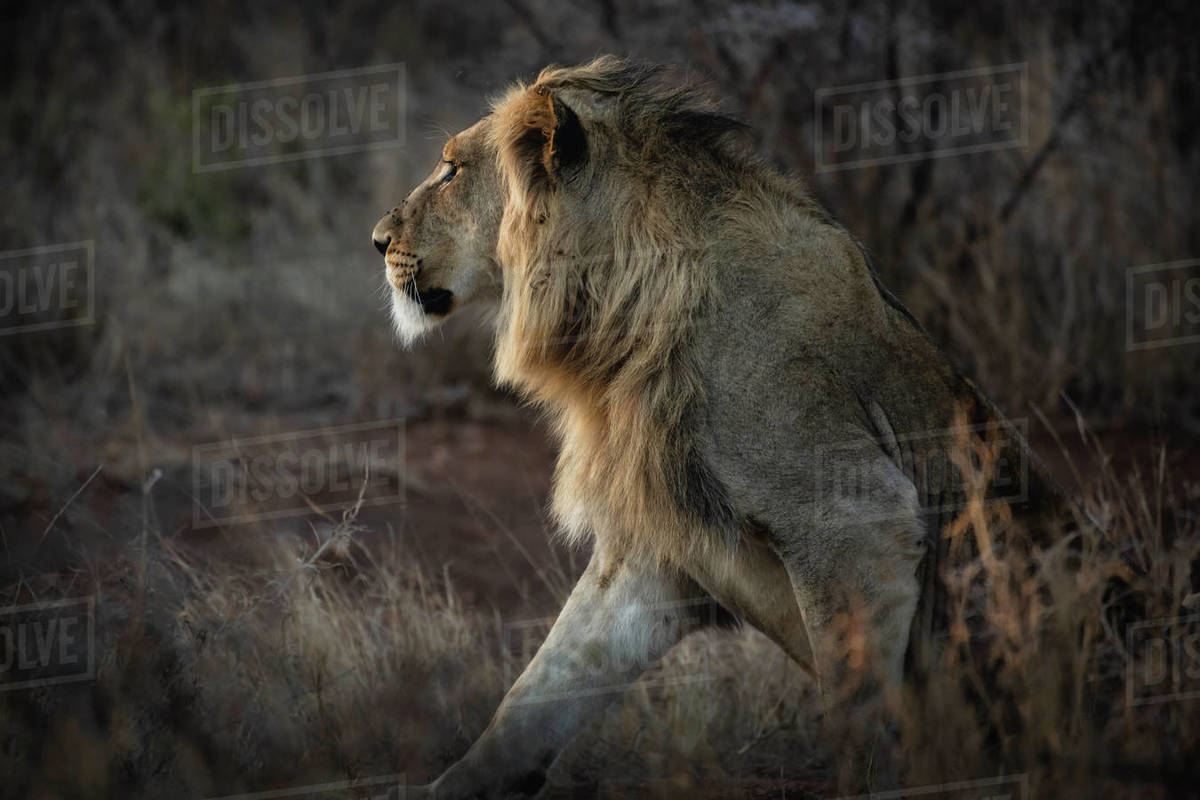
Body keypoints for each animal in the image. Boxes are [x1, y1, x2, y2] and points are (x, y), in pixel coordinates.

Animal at [372, 57, 1066, 798]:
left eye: (451, 170)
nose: (378, 241)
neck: (624, 310)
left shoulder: (853, 525)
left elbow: (858, 720)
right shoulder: (656, 553)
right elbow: (539, 691)